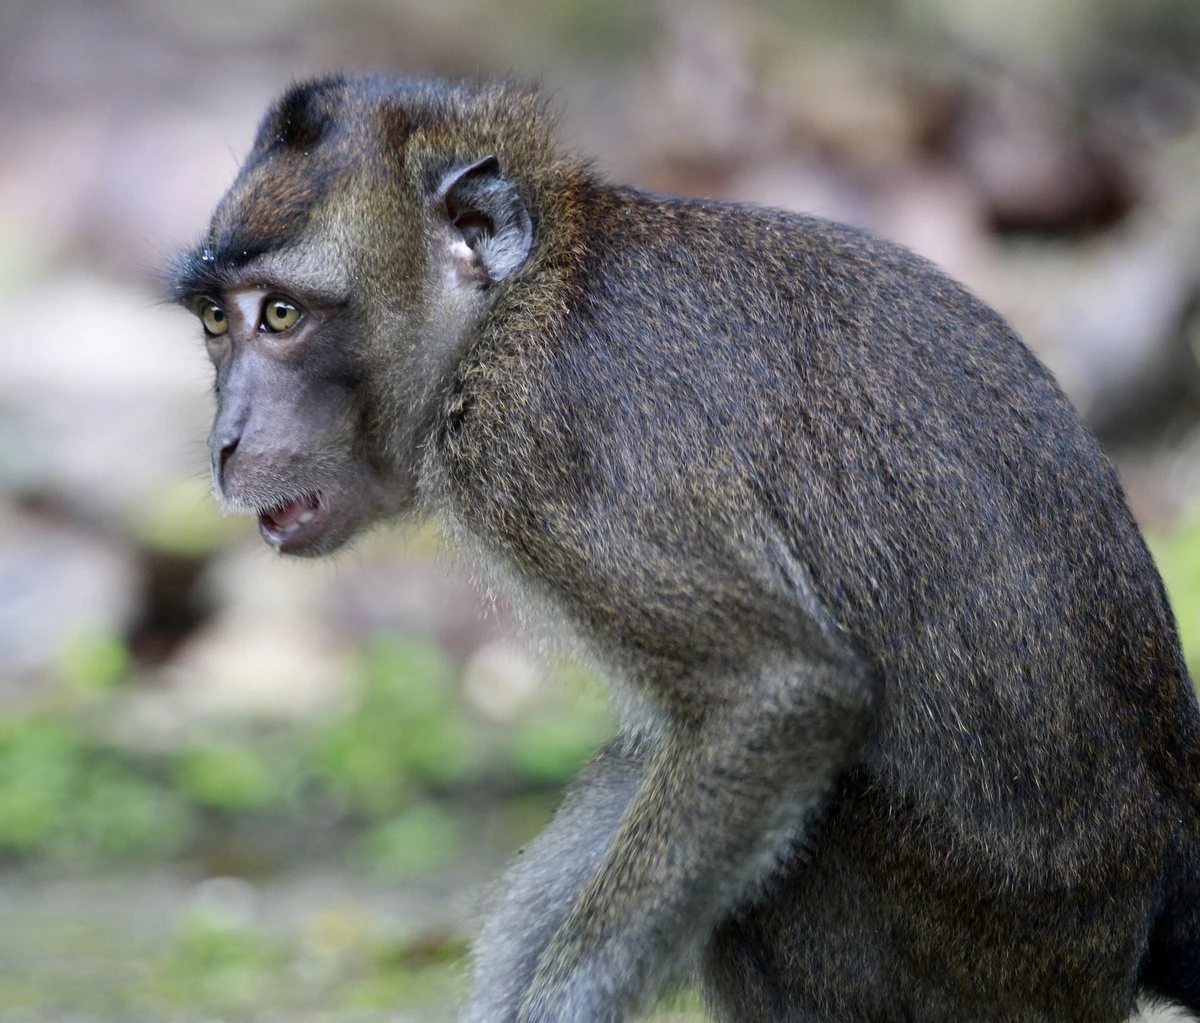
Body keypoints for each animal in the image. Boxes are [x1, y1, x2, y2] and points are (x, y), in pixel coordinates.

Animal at [170, 74, 1200, 1023]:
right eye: (217, 320)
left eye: (281, 315)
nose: (223, 442)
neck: (516, 306)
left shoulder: (548, 441)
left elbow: (776, 692)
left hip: (986, 960)